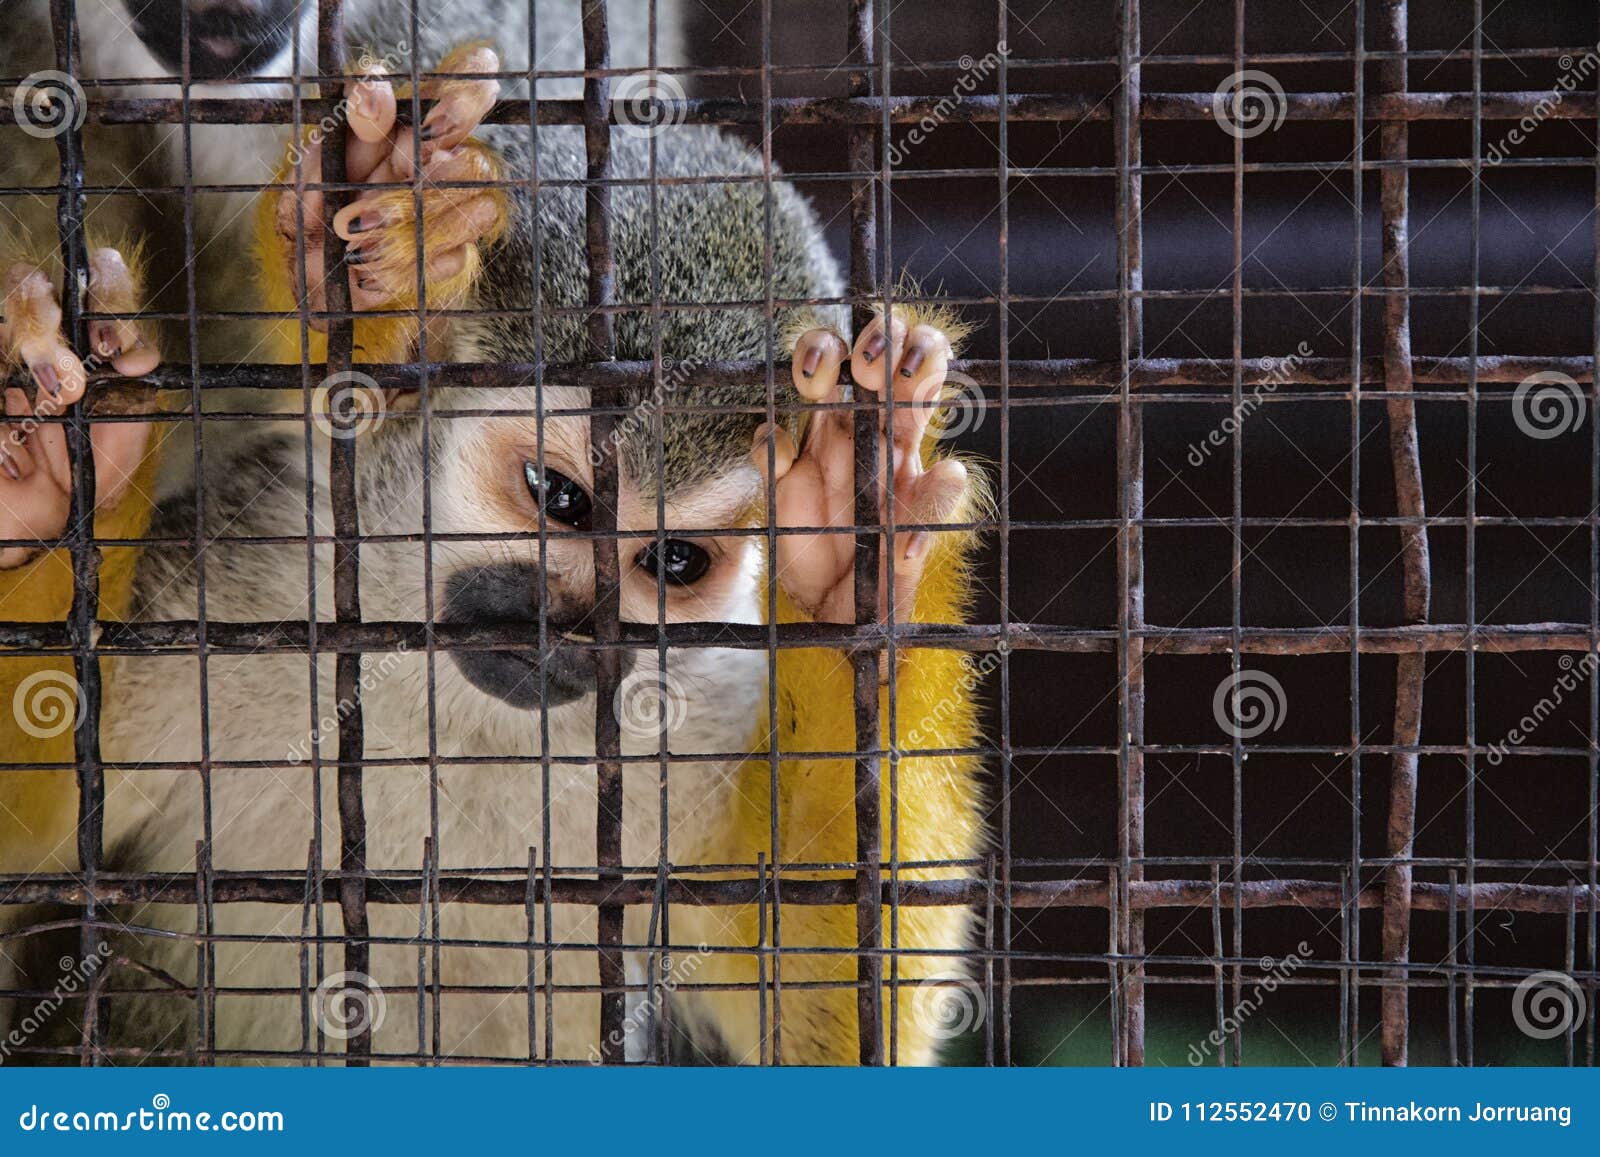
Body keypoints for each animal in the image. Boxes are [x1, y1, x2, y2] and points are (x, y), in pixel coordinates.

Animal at [0, 5, 988, 1065]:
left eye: (673, 560)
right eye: (559, 499)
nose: (564, 624)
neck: (459, 716)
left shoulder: (710, 715)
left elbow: (831, 1013)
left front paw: (854, 562)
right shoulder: (237, 582)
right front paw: (54, 487)